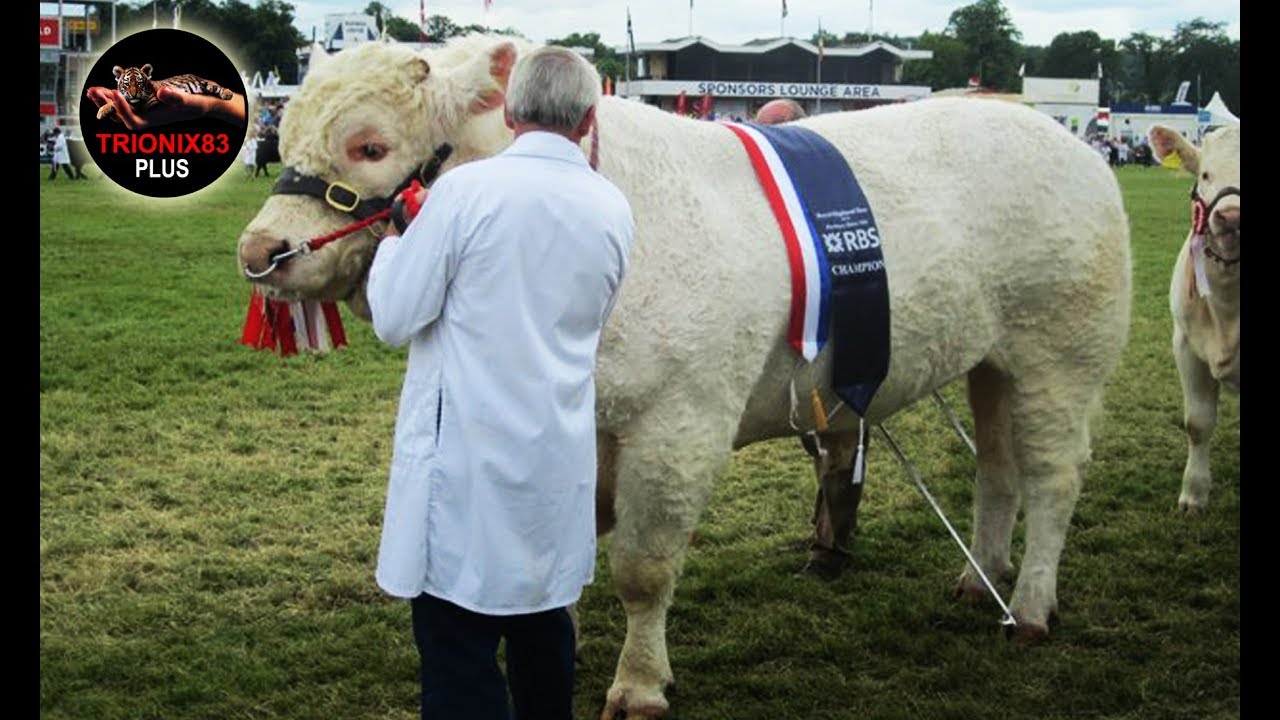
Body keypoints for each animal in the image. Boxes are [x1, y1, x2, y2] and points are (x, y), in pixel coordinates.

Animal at [236, 36, 1132, 717]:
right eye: (286, 133)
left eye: (370, 145)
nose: (259, 251)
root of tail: (1062, 139)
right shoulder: (592, 428)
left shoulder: (681, 422)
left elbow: (643, 566)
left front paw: (638, 686)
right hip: (993, 362)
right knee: (997, 473)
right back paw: (978, 580)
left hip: (1062, 351)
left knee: (1053, 475)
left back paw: (1031, 607)